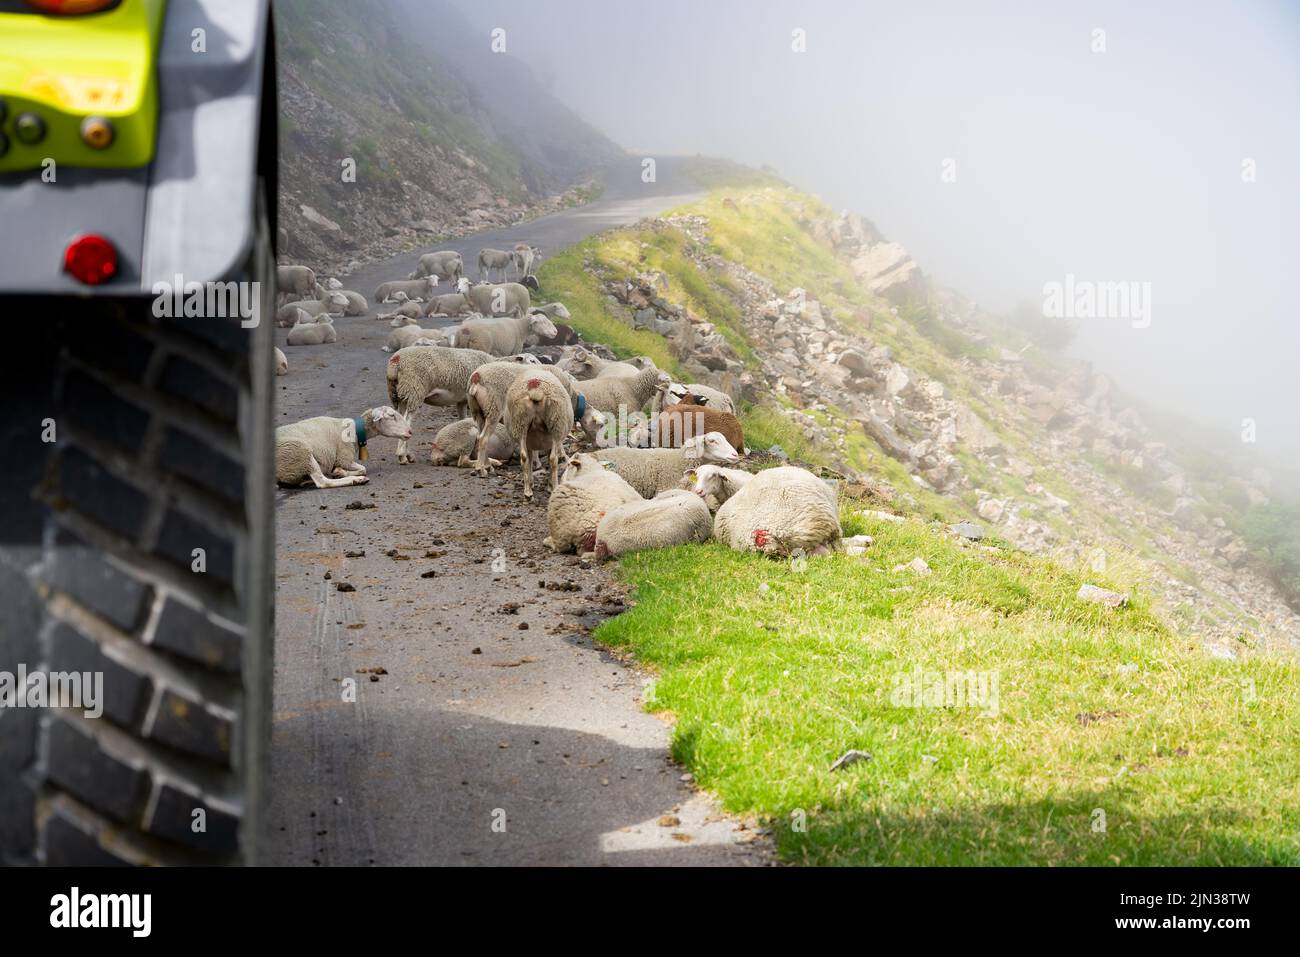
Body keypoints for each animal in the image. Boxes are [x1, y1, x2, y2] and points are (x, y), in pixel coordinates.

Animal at [275, 406, 412, 489]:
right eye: (392, 415)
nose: (410, 432)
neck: (354, 430)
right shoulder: (343, 458)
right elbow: (363, 468)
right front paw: (340, 472)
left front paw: (338, 471)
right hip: (300, 453)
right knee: (322, 482)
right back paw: (357, 480)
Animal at [503, 368, 573, 500]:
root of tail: (536, 389)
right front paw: (549, 485)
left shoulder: (531, 444)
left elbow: (530, 460)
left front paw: (531, 483)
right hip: (556, 425)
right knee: (553, 459)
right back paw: (554, 487)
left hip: (520, 423)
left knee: (524, 457)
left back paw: (527, 492)